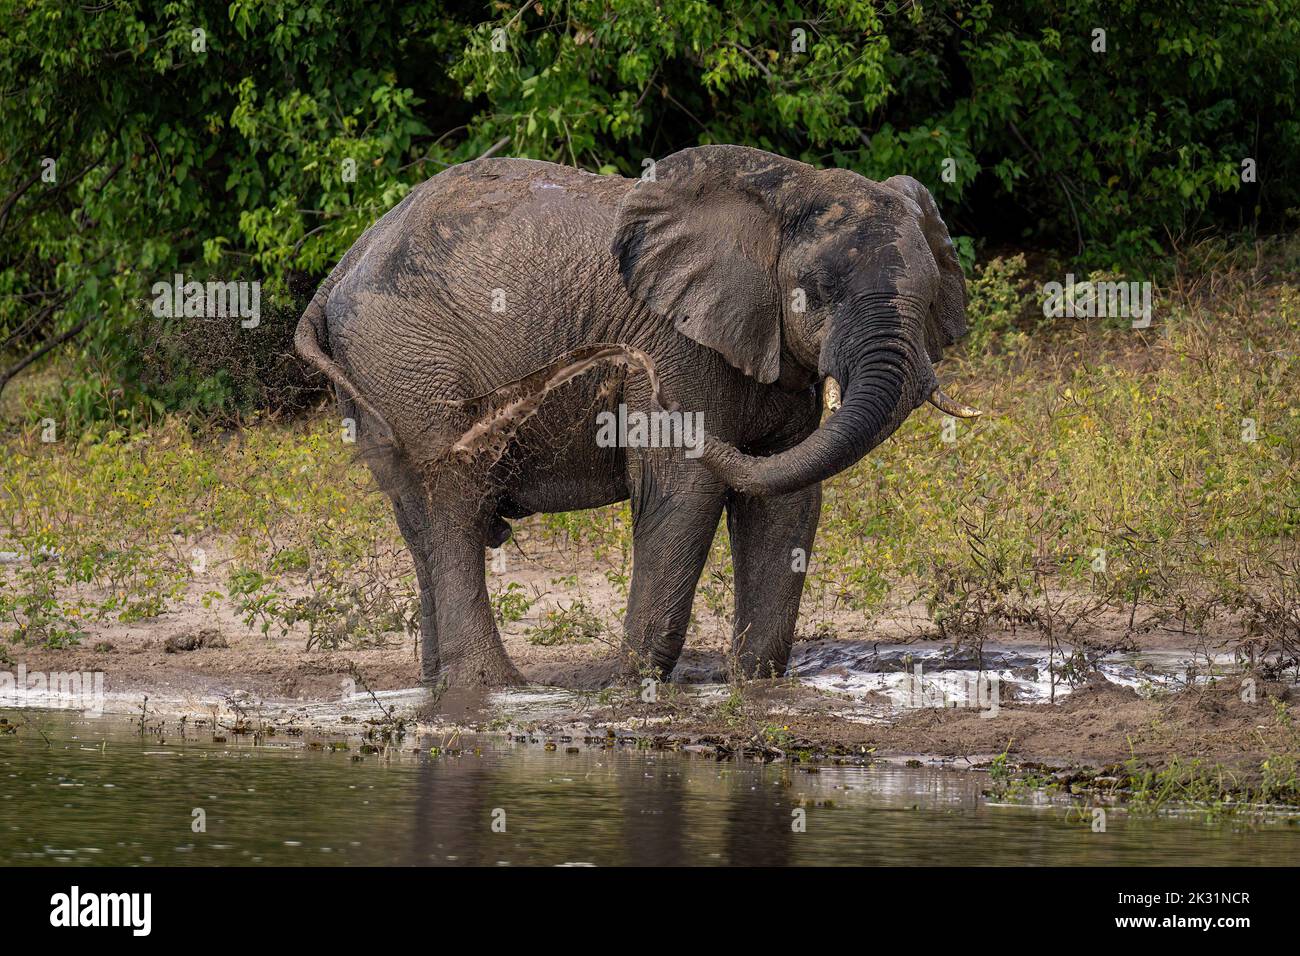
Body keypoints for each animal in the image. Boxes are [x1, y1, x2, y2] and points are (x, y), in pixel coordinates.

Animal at [295, 144, 979, 688]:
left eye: (926, 295)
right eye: (819, 292)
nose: (623, 365)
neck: (783, 192)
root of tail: (342, 264)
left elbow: (786, 501)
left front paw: (752, 685)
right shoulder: (675, 342)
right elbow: (686, 488)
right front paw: (631, 688)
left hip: (378, 376)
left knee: (418, 518)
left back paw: (440, 684)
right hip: (407, 357)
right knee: (457, 496)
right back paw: (493, 688)